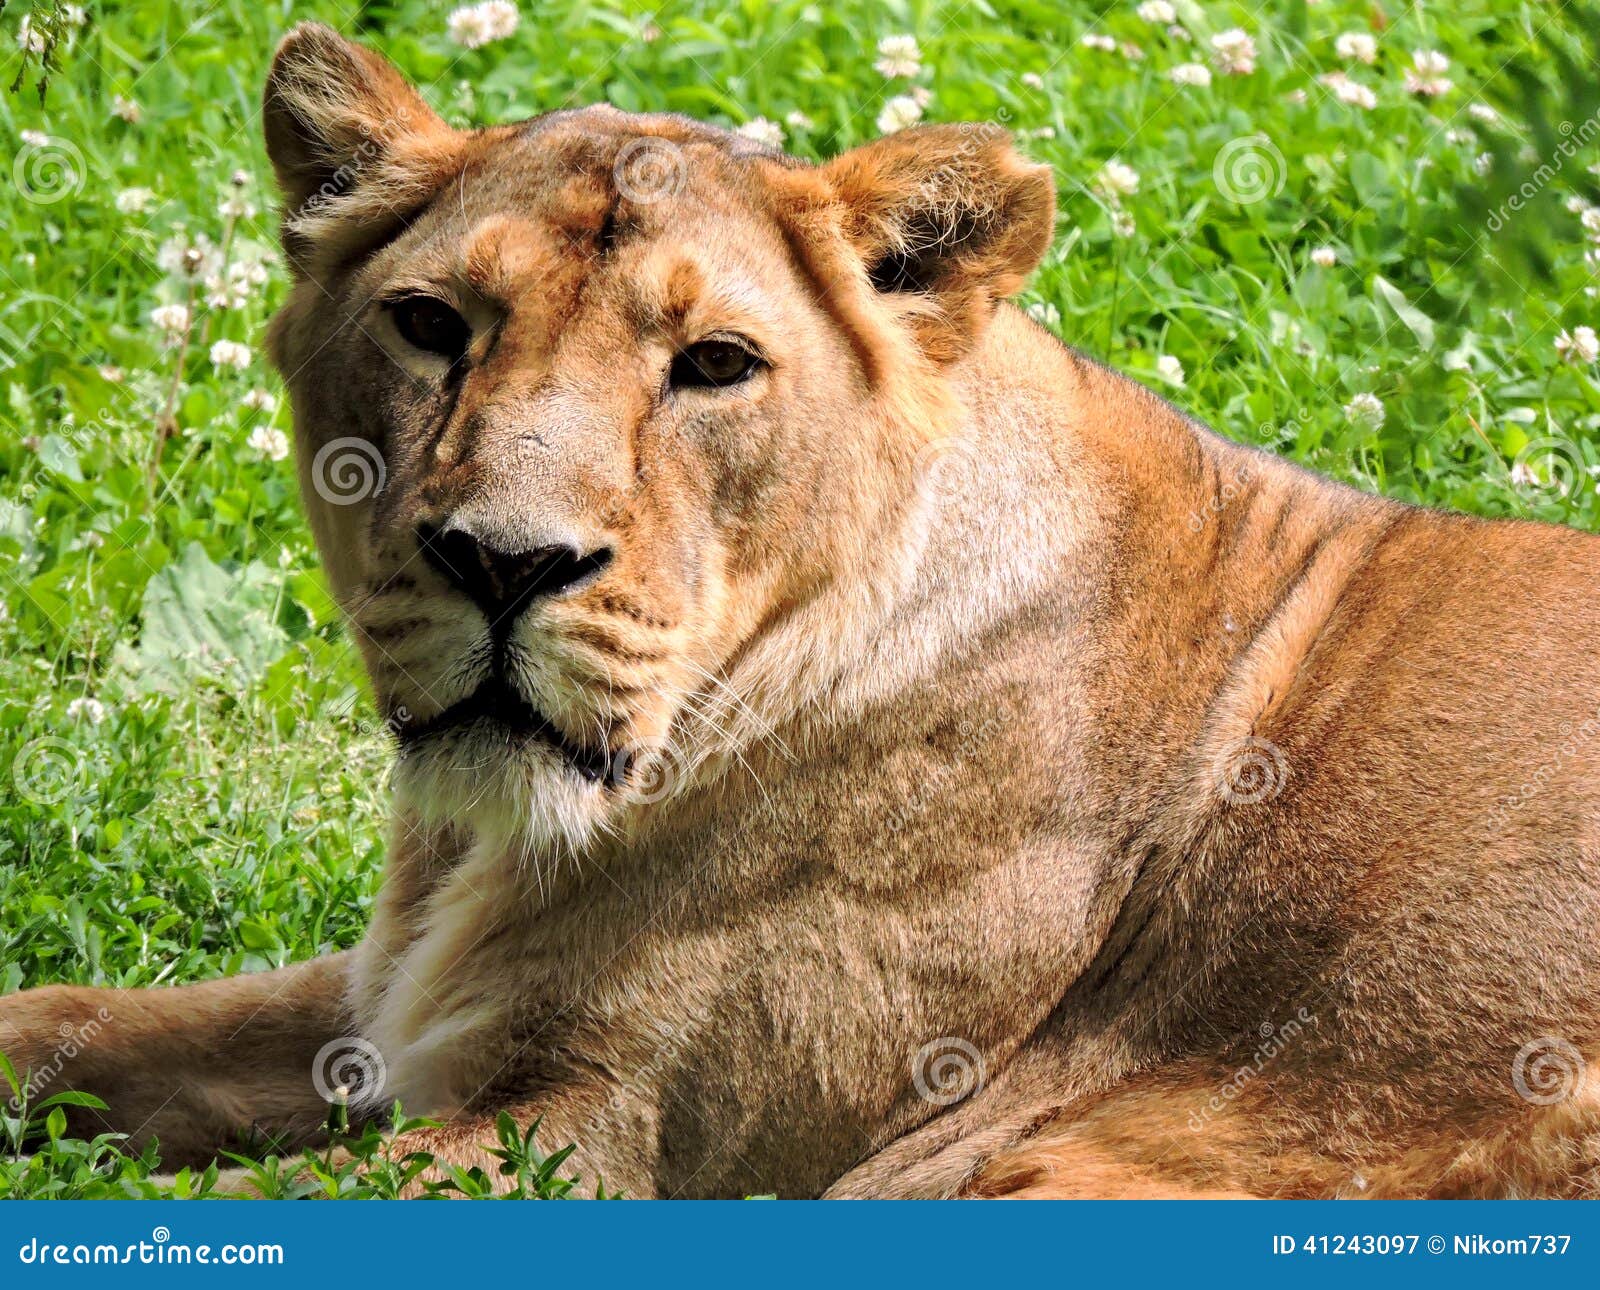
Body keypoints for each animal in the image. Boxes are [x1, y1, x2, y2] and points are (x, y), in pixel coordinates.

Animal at [3, 23, 1599, 1199]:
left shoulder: (596, 1131)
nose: (504, 562)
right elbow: (68, 1021)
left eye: (715, 364)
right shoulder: (381, 1004)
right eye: (431, 324)